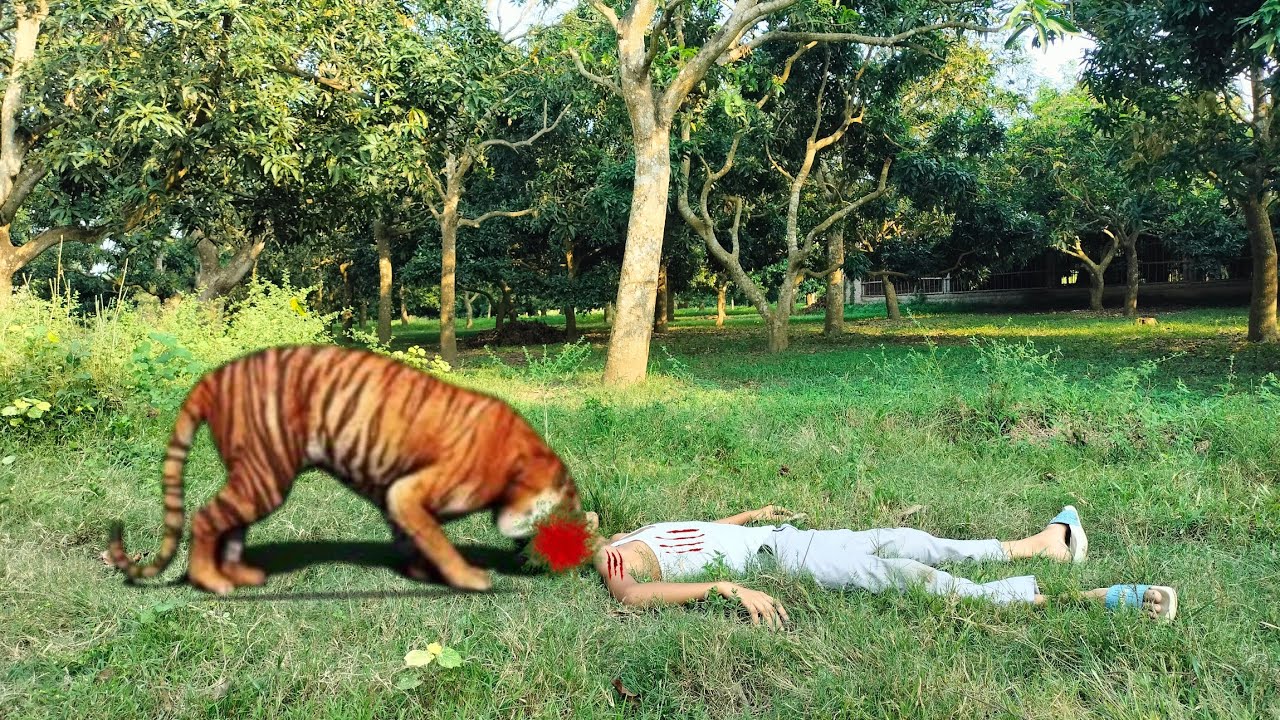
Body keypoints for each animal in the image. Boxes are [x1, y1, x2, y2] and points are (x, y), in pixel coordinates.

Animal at [107, 344, 580, 595]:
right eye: (572, 508)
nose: (578, 550)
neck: (522, 466)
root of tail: (215, 376)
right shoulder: (408, 492)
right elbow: (438, 542)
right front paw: (469, 578)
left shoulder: (398, 498)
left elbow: (419, 539)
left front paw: (423, 573)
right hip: (266, 474)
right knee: (207, 518)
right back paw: (214, 582)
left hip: (252, 475)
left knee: (231, 526)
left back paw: (241, 574)